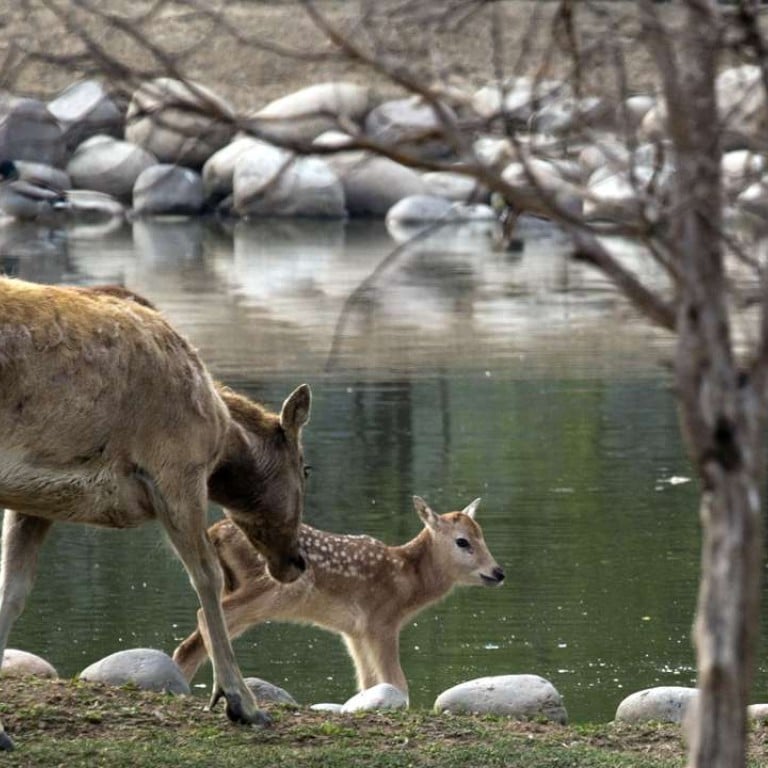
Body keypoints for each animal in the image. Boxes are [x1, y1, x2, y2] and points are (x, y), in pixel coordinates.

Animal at [0, 276, 312, 750]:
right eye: (306, 469)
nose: (297, 560)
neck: (221, 436)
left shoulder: (32, 500)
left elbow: (12, 593)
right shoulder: (176, 471)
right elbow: (207, 577)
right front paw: (241, 703)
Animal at [173, 496, 504, 698]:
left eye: (483, 535)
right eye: (462, 542)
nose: (498, 572)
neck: (406, 580)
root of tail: (215, 532)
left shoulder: (354, 632)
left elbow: (367, 684)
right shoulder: (381, 623)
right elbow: (397, 683)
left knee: (191, 643)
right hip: (268, 589)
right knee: (204, 619)